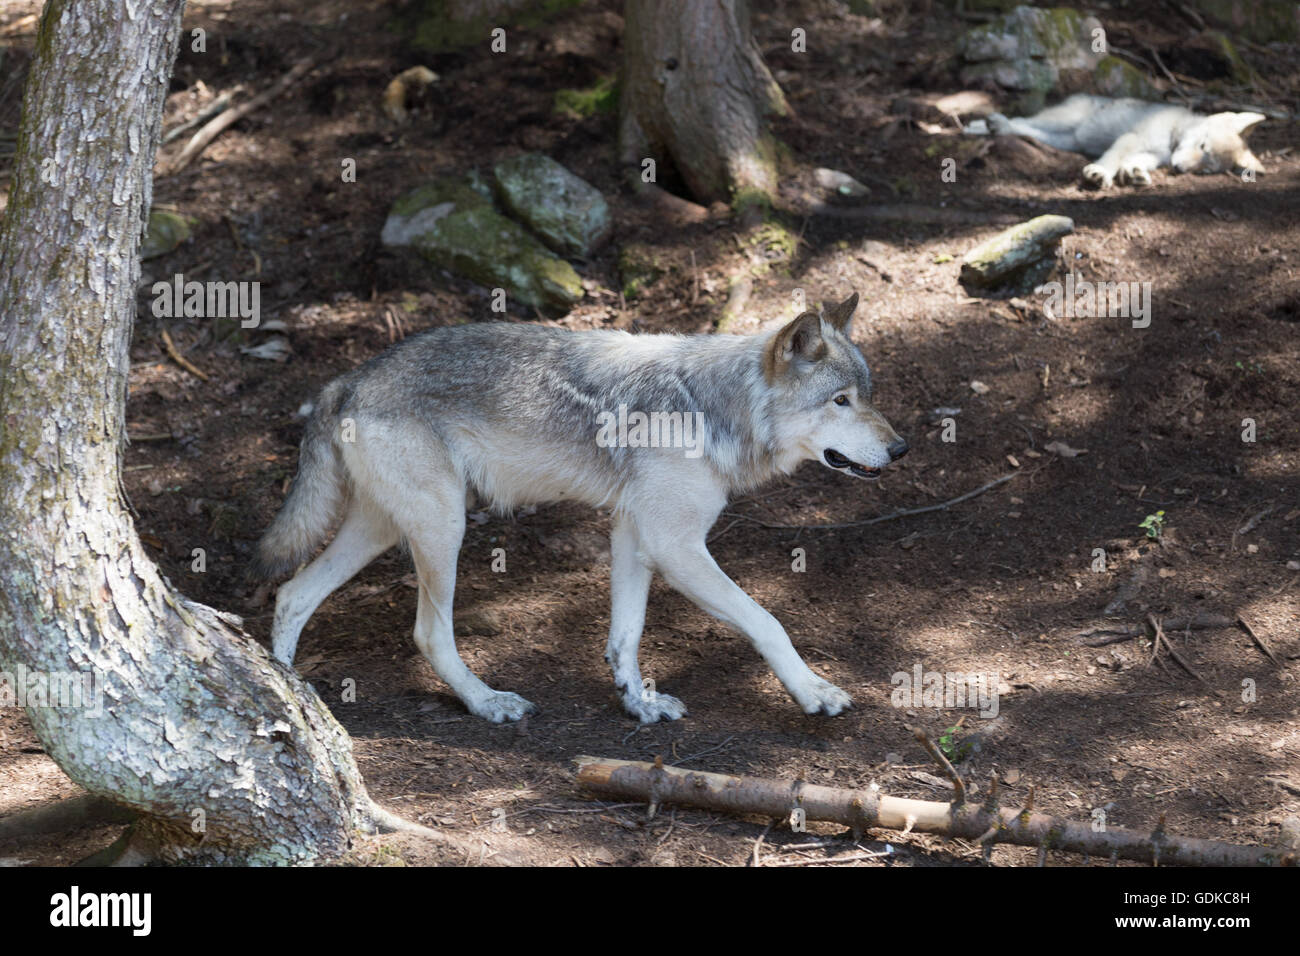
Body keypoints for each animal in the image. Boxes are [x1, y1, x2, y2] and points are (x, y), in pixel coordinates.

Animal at [256, 293, 909, 723]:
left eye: (868, 396)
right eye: (840, 400)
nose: (901, 449)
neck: (717, 408)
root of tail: (348, 380)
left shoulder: (633, 534)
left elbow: (626, 635)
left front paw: (638, 702)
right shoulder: (676, 545)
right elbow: (769, 622)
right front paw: (814, 692)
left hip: (385, 529)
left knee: (292, 594)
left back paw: (290, 696)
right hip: (444, 528)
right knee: (427, 633)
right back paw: (488, 703)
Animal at [966, 94, 1265, 188]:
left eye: (1205, 170)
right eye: (1202, 146)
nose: (1178, 169)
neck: (1173, 133)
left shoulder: (1152, 155)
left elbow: (1135, 163)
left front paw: (1134, 174)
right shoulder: (1130, 138)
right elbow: (1112, 158)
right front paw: (1099, 173)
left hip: (1067, 139)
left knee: (1026, 130)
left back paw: (988, 128)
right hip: (1063, 120)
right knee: (1021, 120)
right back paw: (985, 124)